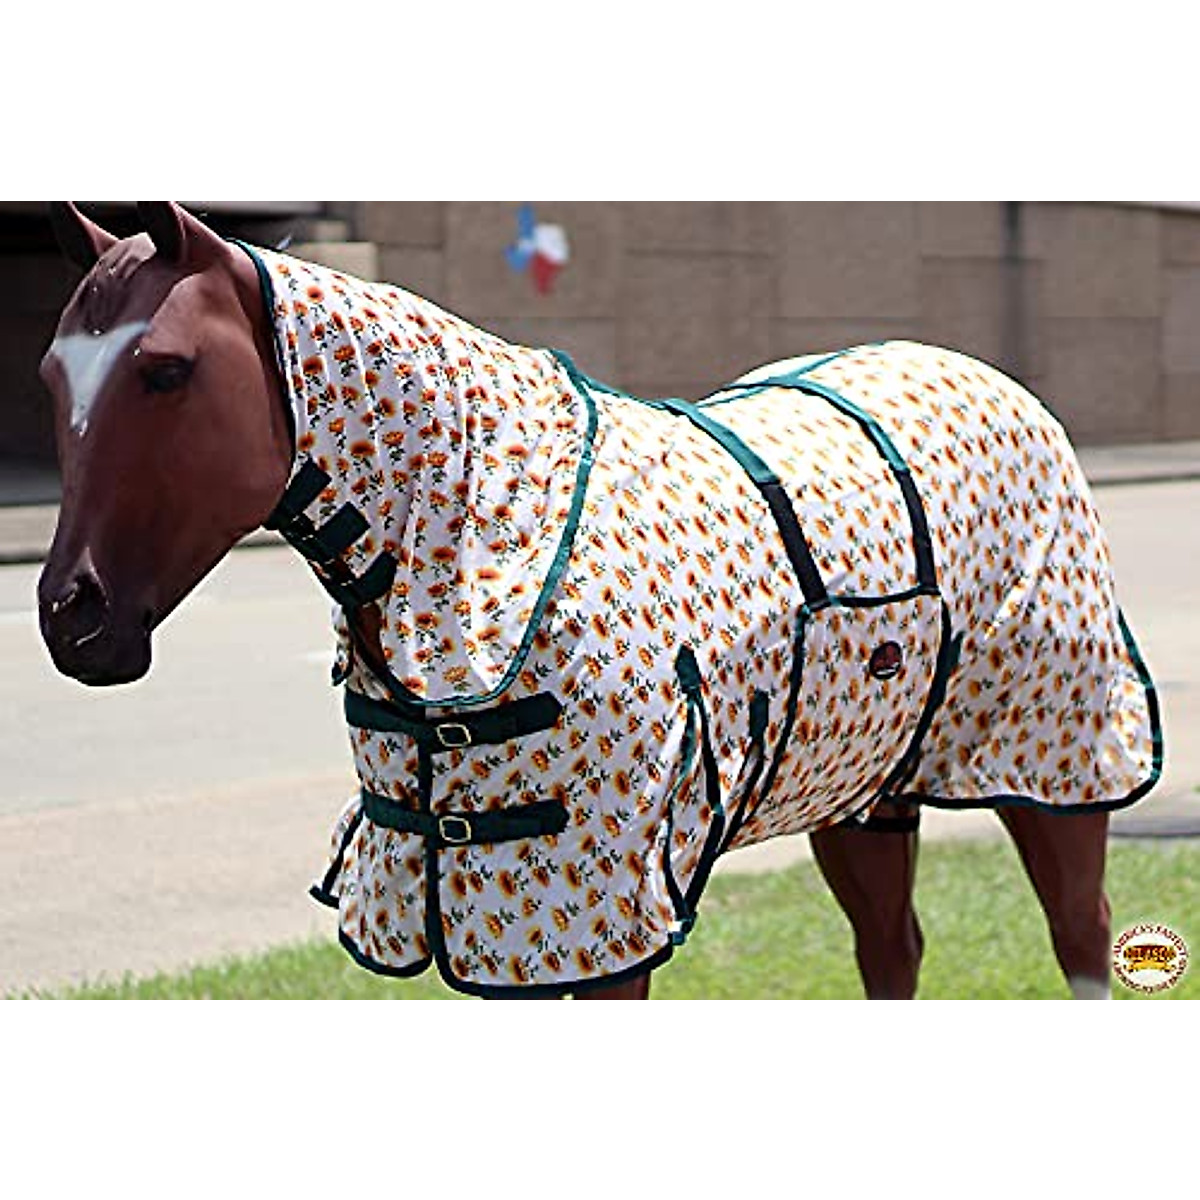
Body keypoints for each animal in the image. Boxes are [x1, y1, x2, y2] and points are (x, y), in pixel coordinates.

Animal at [36, 201, 1162, 1000]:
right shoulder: (492, 919)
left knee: (1082, 938)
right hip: (860, 787)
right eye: (51, 376)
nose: (71, 619)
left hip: (1056, 768)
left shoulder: (601, 914)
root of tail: (992, 380)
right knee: (892, 950)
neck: (497, 548)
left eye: (165, 369)